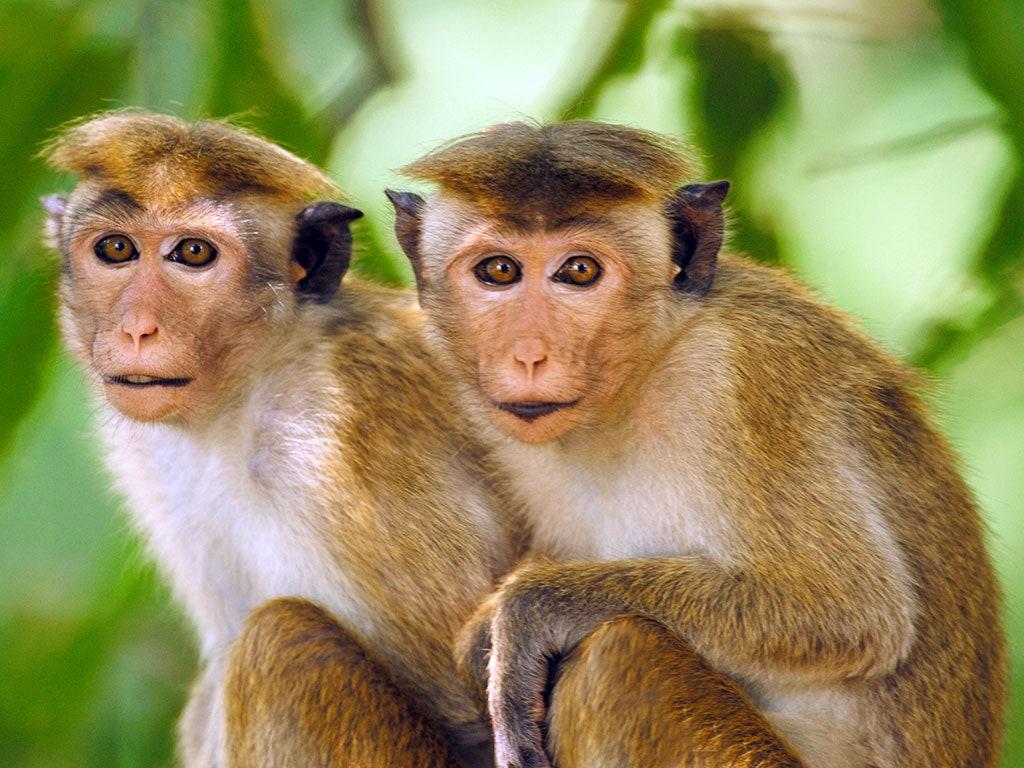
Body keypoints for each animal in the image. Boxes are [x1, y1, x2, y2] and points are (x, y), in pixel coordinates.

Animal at [41, 111, 524, 767]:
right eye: (115, 249)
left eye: (193, 253)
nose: (137, 328)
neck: (246, 394)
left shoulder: (340, 445)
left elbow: (474, 715)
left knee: (281, 642)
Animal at [386, 120, 1008, 768]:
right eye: (499, 271)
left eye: (579, 271)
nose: (529, 353)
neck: (641, 377)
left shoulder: (749, 377)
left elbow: (850, 612)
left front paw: (528, 613)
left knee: (621, 652)